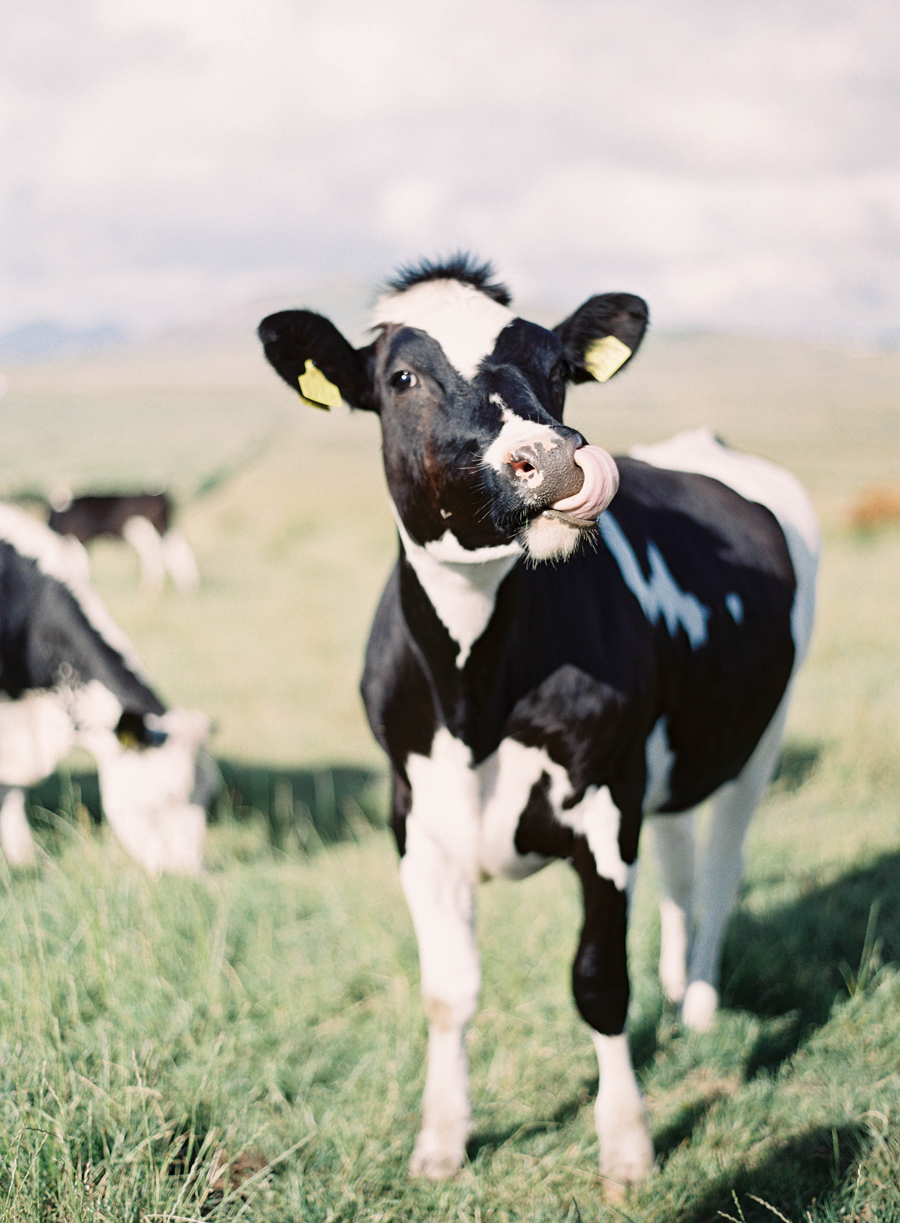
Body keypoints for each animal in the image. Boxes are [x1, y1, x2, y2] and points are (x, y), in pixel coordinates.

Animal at [47, 490, 201, 594]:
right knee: (176, 547)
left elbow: (81, 564)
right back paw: (188, 585)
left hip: (140, 529)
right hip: (161, 526)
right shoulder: (80, 540)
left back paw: (151, 587)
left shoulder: (79, 537)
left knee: (152, 553)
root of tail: (158, 494)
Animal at [257, 255, 819, 1196]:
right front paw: (441, 1139)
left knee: (719, 870)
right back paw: (680, 989)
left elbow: (600, 984)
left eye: (556, 366)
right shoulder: (414, 816)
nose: (553, 458)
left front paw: (626, 1147)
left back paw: (701, 1003)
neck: (473, 698)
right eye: (401, 378)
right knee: (678, 864)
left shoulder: (605, 801)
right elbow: (448, 989)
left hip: (760, 739)